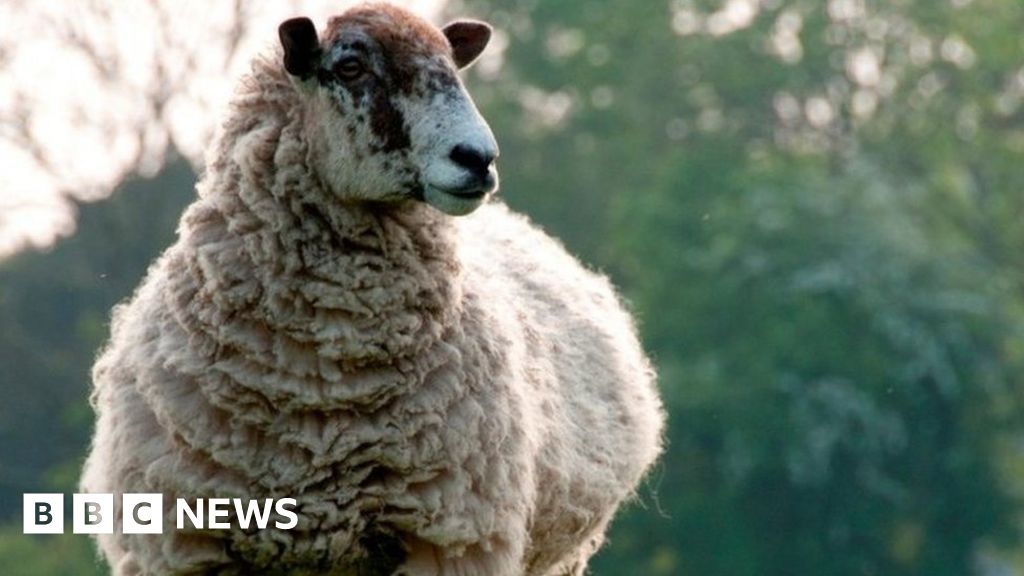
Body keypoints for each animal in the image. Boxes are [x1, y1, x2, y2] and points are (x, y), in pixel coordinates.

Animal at [80, 3, 665, 575]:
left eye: (452, 66)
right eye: (350, 67)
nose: (479, 158)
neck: (319, 386)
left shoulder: (447, 538)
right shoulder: (186, 548)